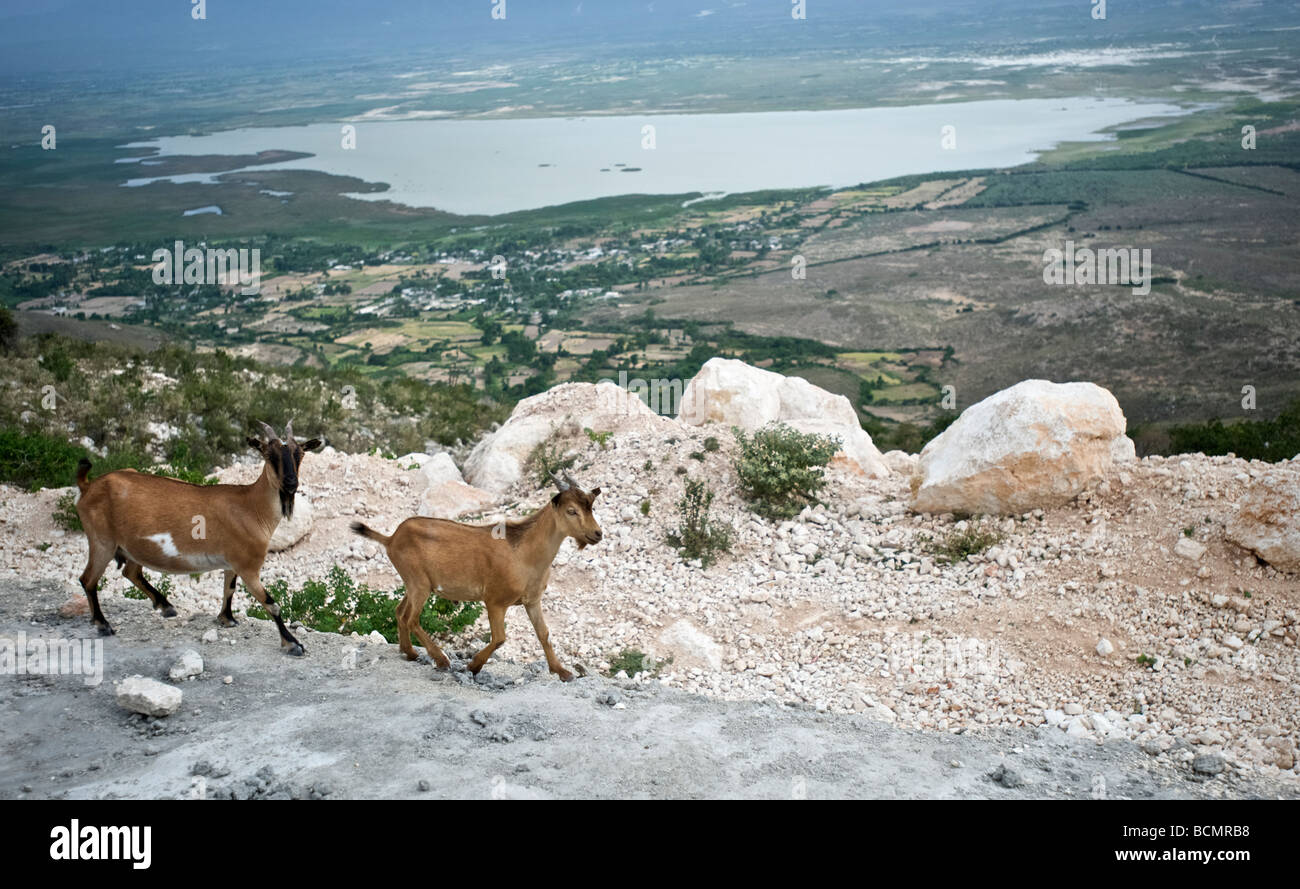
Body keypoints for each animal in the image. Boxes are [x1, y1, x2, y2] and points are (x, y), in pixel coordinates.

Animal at [73, 421, 322, 655]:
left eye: (300, 454)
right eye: (269, 455)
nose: (291, 483)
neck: (251, 507)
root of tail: (88, 487)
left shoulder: (232, 564)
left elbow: (229, 589)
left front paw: (227, 619)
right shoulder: (248, 566)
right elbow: (272, 604)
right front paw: (293, 644)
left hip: (132, 547)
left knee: (130, 572)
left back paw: (166, 606)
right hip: (102, 542)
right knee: (88, 579)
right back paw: (103, 625)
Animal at [350, 471, 602, 681]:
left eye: (591, 507)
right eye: (571, 510)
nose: (597, 533)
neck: (524, 553)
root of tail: (391, 538)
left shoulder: (532, 601)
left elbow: (544, 634)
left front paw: (562, 672)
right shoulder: (495, 601)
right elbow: (500, 637)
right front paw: (473, 666)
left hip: (414, 584)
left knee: (400, 612)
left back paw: (410, 653)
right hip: (418, 584)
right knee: (411, 618)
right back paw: (441, 660)